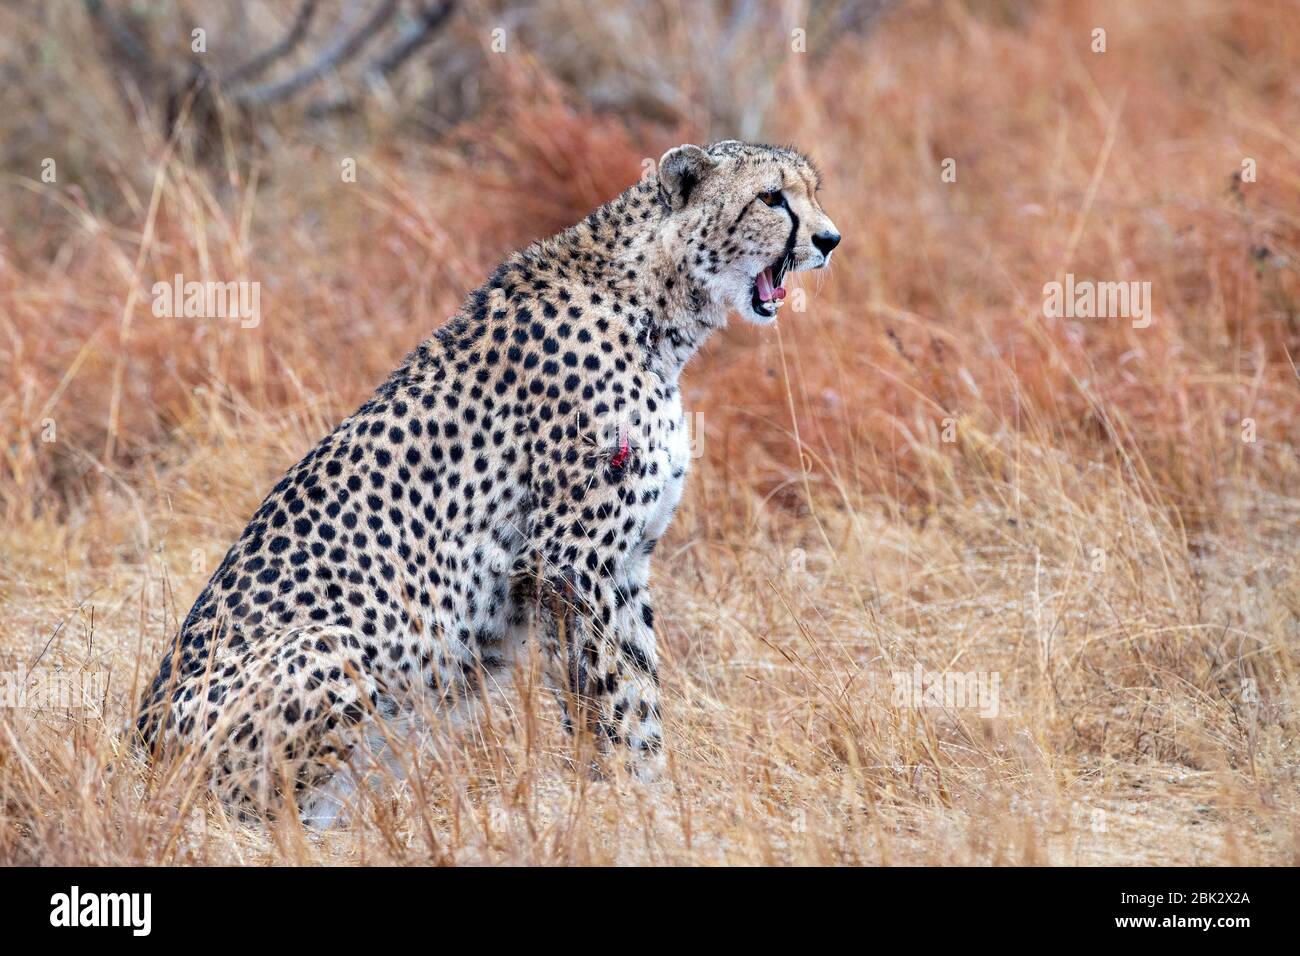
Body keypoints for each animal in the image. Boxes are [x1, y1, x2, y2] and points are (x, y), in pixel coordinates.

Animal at [134, 139, 841, 824]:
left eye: (811, 191)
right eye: (771, 198)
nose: (830, 239)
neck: (653, 303)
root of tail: (144, 751)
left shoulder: (626, 564)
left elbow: (636, 694)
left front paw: (652, 802)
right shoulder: (571, 561)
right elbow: (610, 699)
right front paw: (629, 807)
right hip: (325, 649)